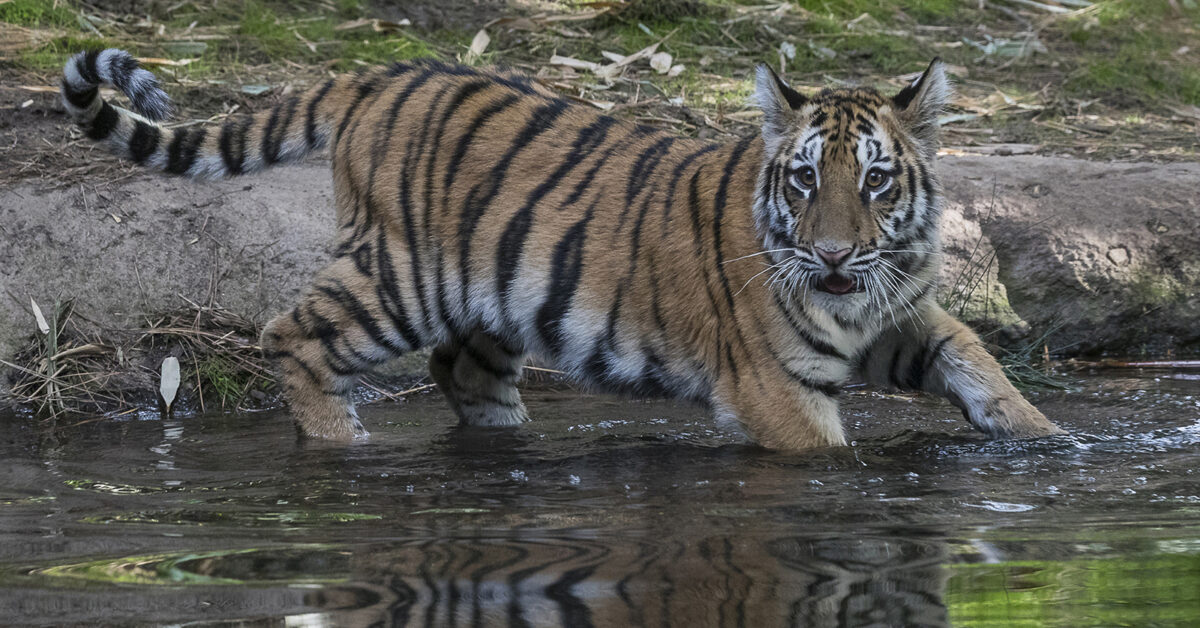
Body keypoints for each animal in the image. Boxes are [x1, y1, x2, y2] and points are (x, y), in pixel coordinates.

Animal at [59, 48, 1064, 450]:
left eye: (879, 181)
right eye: (807, 181)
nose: (831, 257)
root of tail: (378, 75)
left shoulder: (895, 314)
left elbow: (974, 358)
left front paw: (1048, 438)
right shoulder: (775, 384)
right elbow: (829, 454)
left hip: (491, 297)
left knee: (461, 370)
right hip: (398, 279)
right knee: (292, 335)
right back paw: (341, 442)